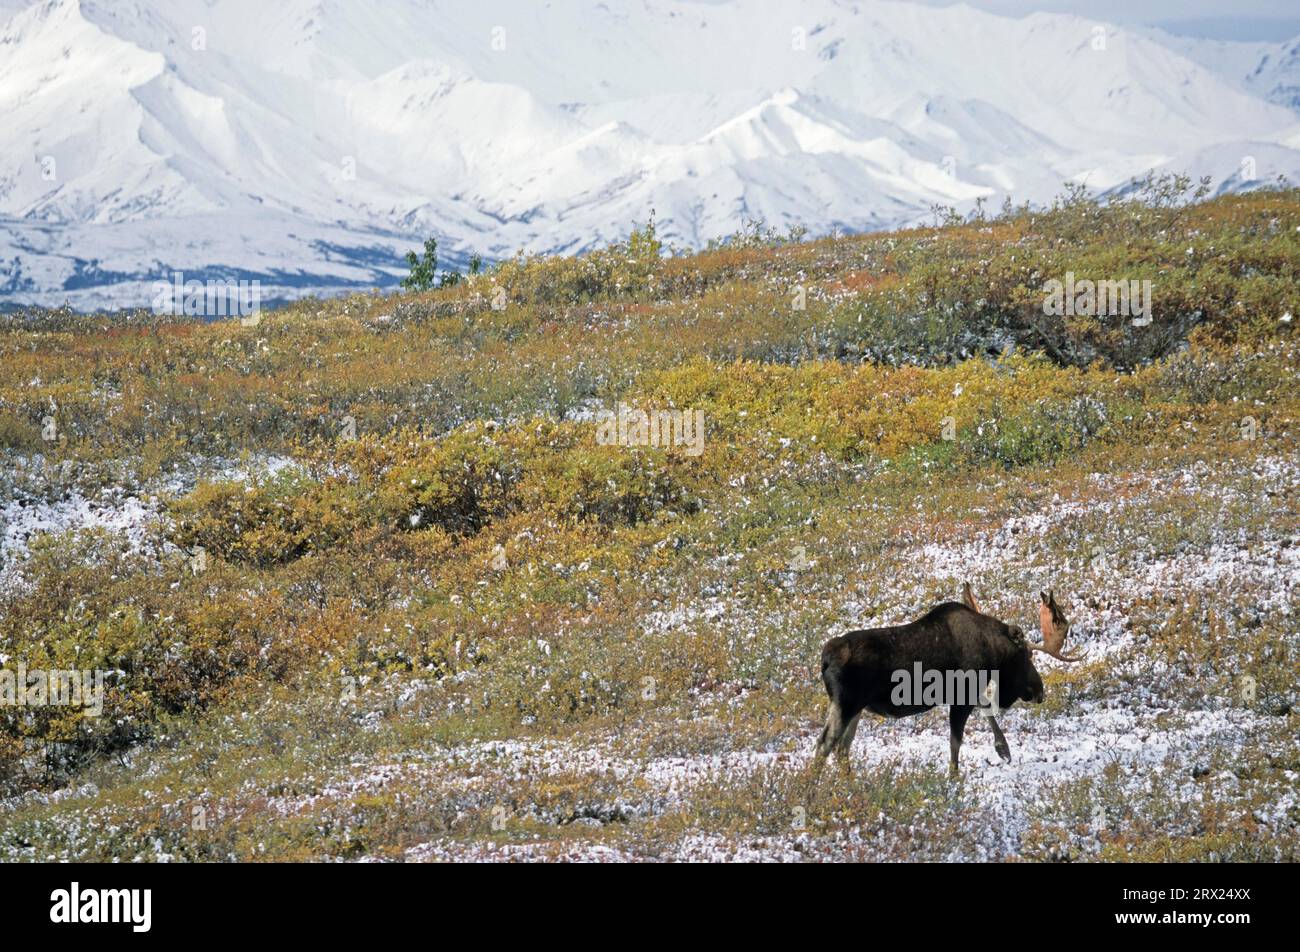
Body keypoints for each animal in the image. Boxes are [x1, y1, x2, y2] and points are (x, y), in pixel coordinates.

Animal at [813, 585, 1082, 774]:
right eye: (1027, 655)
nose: (1039, 690)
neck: (992, 650)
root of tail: (824, 660)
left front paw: (1002, 750)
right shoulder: (963, 693)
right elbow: (957, 742)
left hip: (856, 708)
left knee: (842, 749)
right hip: (846, 703)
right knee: (825, 744)